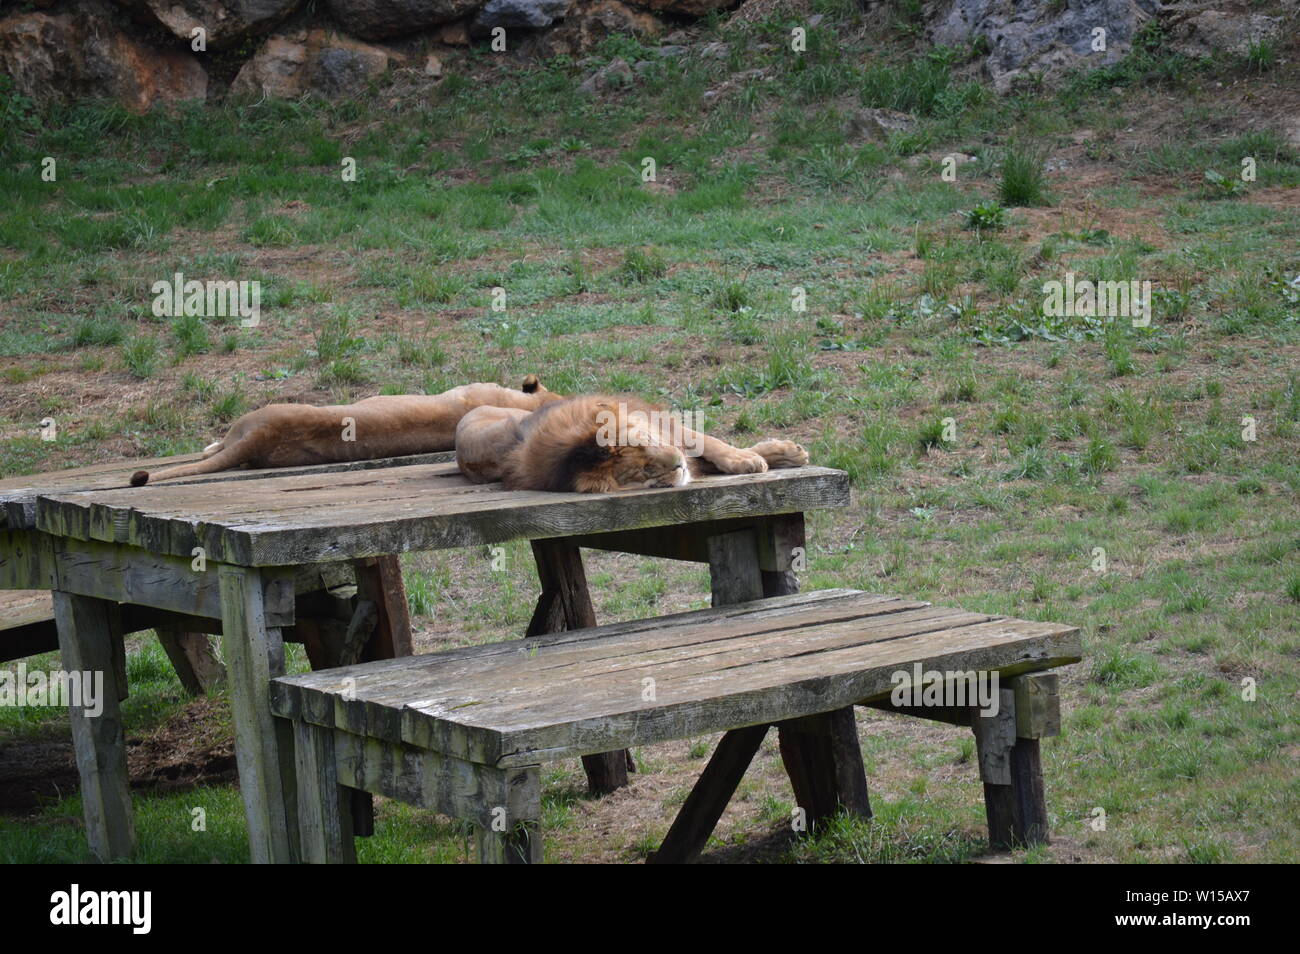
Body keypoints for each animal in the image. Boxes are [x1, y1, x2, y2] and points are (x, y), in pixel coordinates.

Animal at [455, 395, 810, 492]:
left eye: (648, 442)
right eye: (644, 470)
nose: (678, 465)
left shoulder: (666, 427)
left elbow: (710, 443)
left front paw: (760, 457)